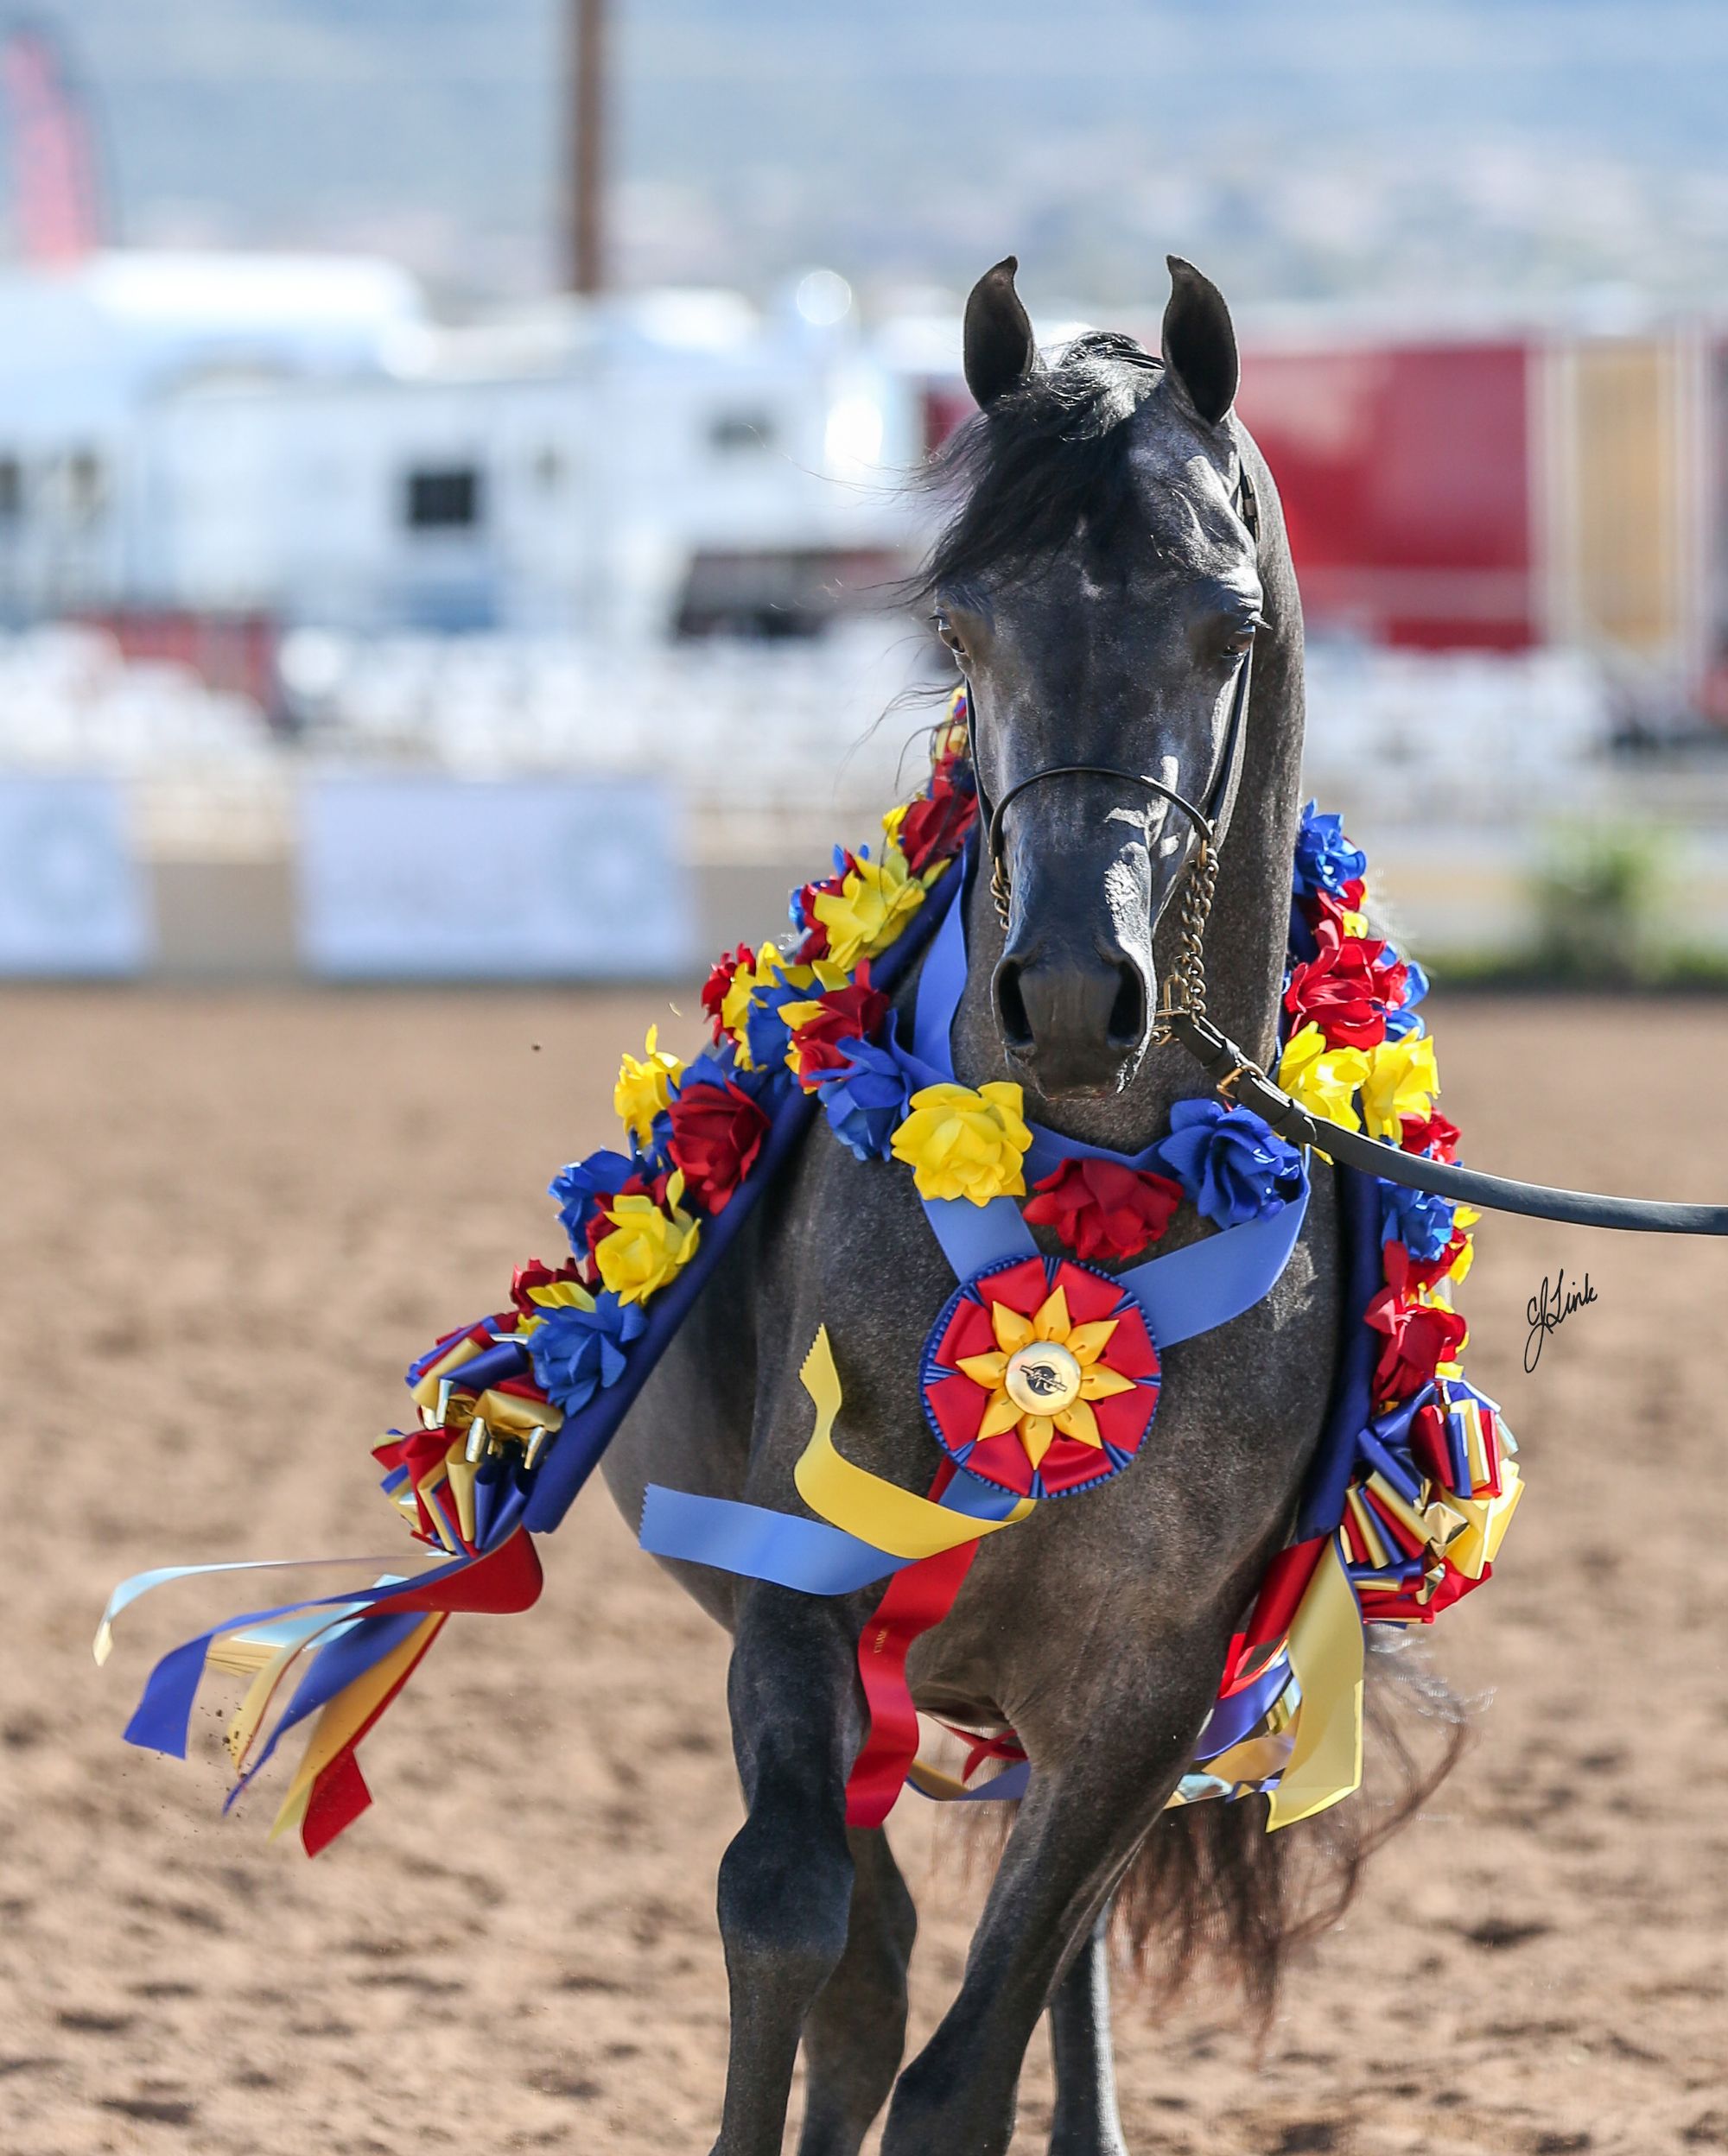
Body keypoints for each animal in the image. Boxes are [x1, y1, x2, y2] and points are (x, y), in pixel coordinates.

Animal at [602, 255, 1433, 2156]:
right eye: (963, 627)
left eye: (1228, 629)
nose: (1065, 991)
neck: (1091, 1208)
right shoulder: (799, 1588)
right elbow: (789, 1913)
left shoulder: (1145, 1697)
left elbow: (972, 2057)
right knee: (870, 1938)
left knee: (1032, 1965)